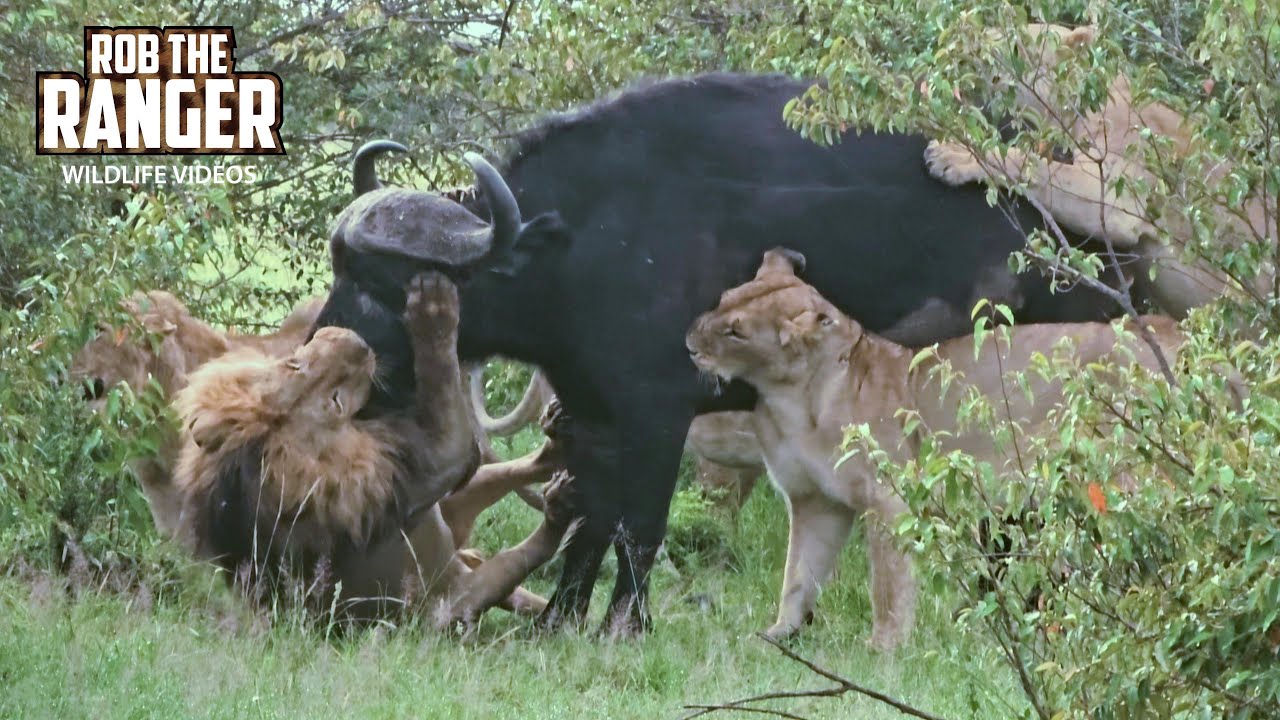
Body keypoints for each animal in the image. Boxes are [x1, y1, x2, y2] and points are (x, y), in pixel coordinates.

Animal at [172, 272, 552, 620]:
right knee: (518, 557)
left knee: (517, 473)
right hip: (449, 602)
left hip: (453, 512)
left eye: (294, 365)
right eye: (335, 402)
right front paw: (433, 308)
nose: (356, 342)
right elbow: (450, 420)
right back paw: (558, 506)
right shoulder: (414, 471)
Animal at [314, 72, 1125, 634]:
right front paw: (560, 623)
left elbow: (639, 527)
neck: (578, 245)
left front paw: (624, 628)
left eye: (389, 286)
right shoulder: (592, 416)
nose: (336, 352)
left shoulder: (659, 412)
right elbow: (588, 524)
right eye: (340, 269)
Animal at [686, 249, 1183, 649]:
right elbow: (799, 577)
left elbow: (888, 584)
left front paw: (884, 648)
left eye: (735, 333)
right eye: (721, 301)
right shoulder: (817, 502)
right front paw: (777, 636)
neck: (789, 400)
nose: (689, 343)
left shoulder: (889, 500)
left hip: (1129, 480)